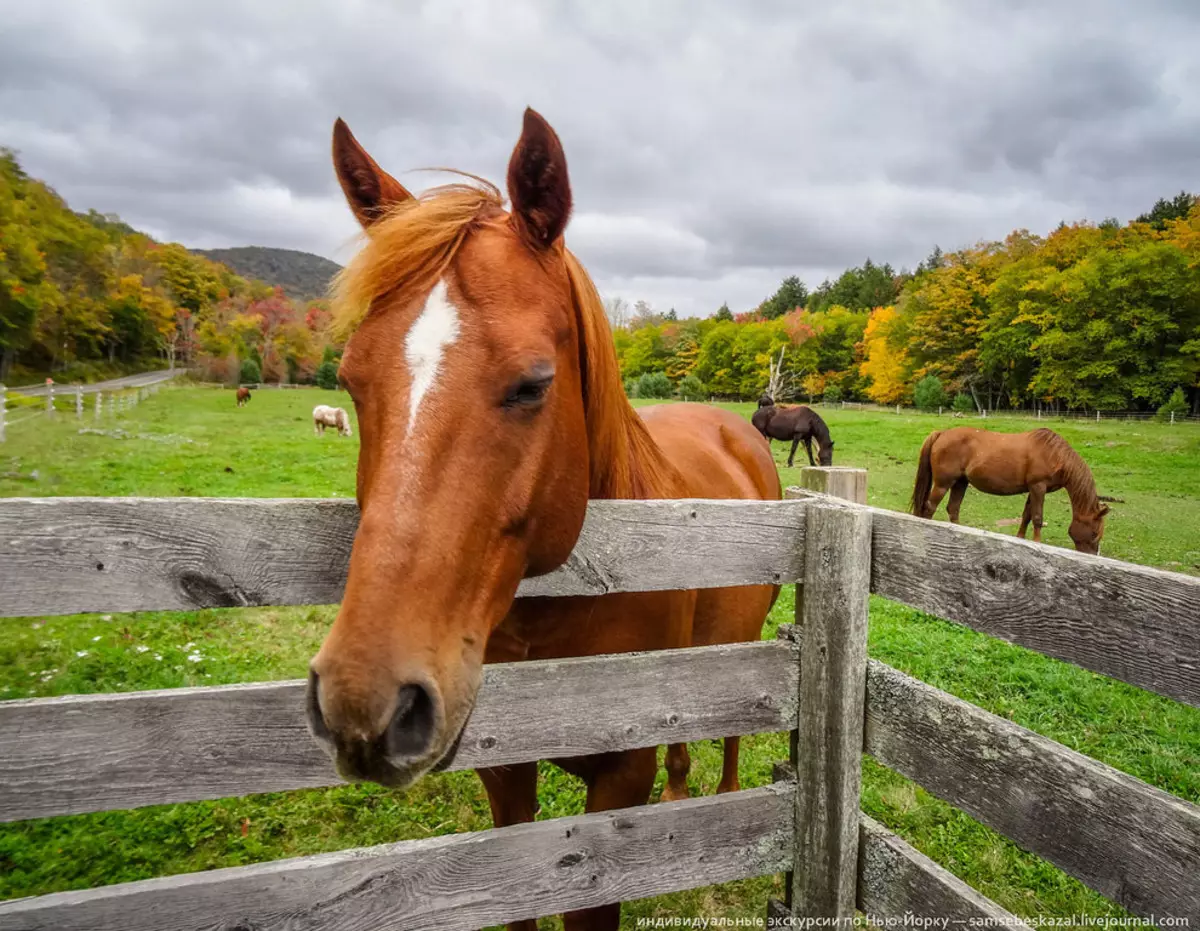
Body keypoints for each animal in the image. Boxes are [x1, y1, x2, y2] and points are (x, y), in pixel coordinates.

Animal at [912, 427, 1108, 551]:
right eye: (1093, 533)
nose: (1089, 555)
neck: (1054, 455)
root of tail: (941, 434)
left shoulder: (1033, 489)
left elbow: (1026, 516)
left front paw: (1020, 539)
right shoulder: (1038, 486)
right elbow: (1037, 518)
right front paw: (1037, 543)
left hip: (961, 482)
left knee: (953, 509)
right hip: (943, 484)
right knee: (930, 508)